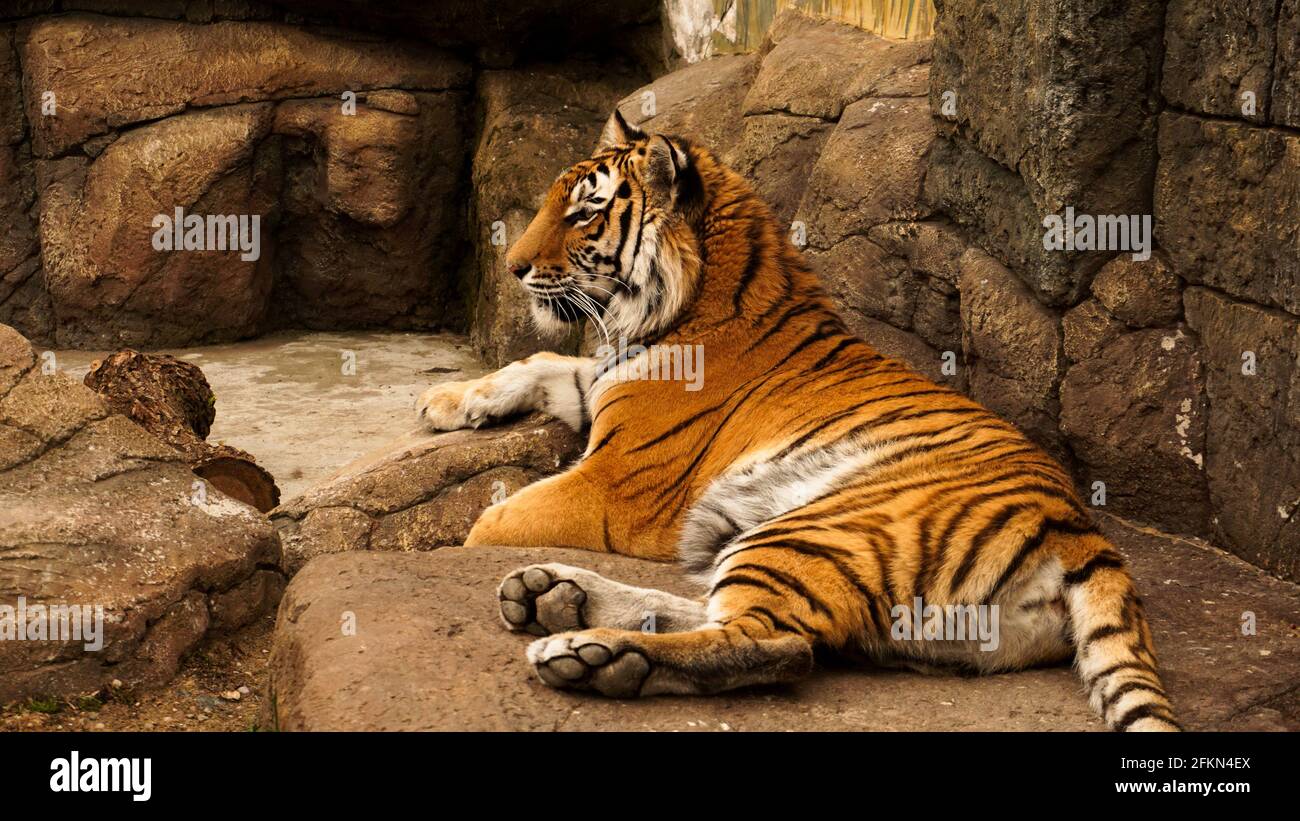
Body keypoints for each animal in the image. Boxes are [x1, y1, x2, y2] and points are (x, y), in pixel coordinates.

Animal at [416, 108, 1179, 731]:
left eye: (583, 215)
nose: (512, 269)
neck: (672, 311)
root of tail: (1083, 534)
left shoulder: (615, 488)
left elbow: (492, 519)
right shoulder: (600, 382)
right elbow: (540, 362)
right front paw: (445, 402)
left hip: (821, 528)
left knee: (773, 642)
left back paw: (590, 651)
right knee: (741, 618)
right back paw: (553, 592)